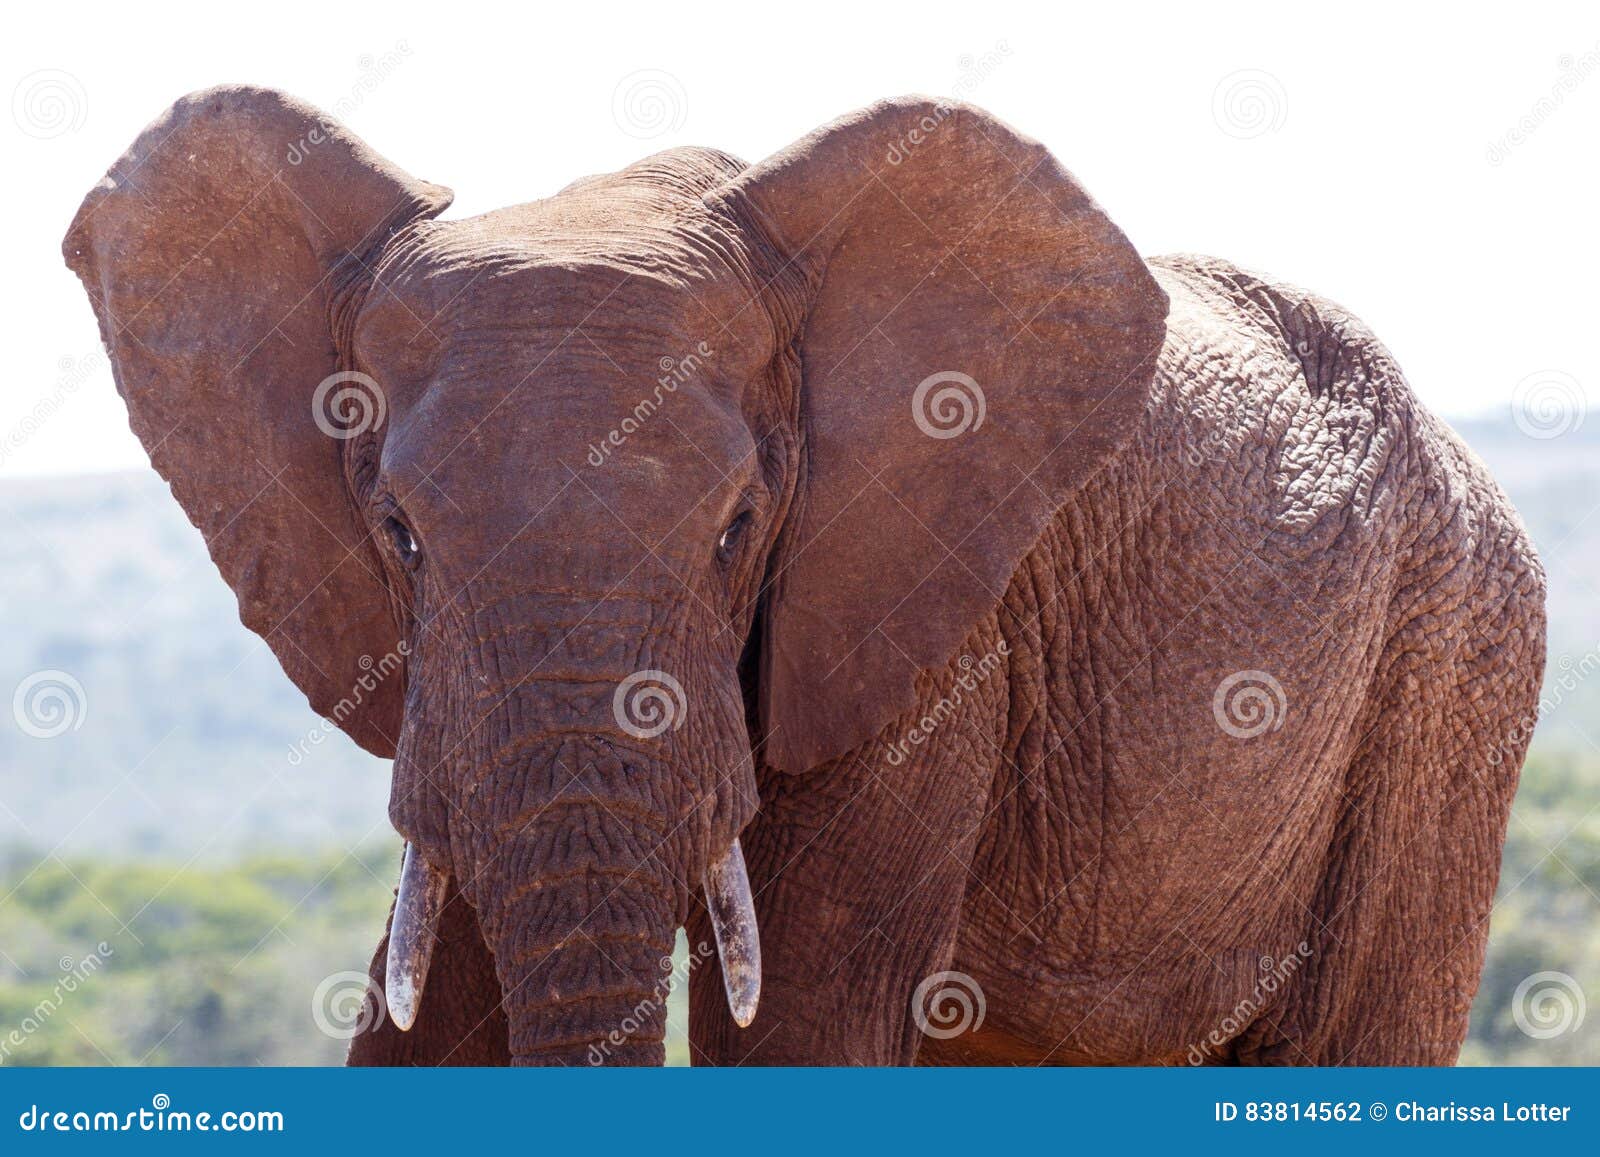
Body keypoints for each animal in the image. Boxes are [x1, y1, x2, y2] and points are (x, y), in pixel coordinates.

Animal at [62, 86, 1546, 1066]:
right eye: (399, 533)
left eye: (738, 526)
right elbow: (441, 1001)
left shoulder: (937, 633)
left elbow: (807, 1019)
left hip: (1452, 673)